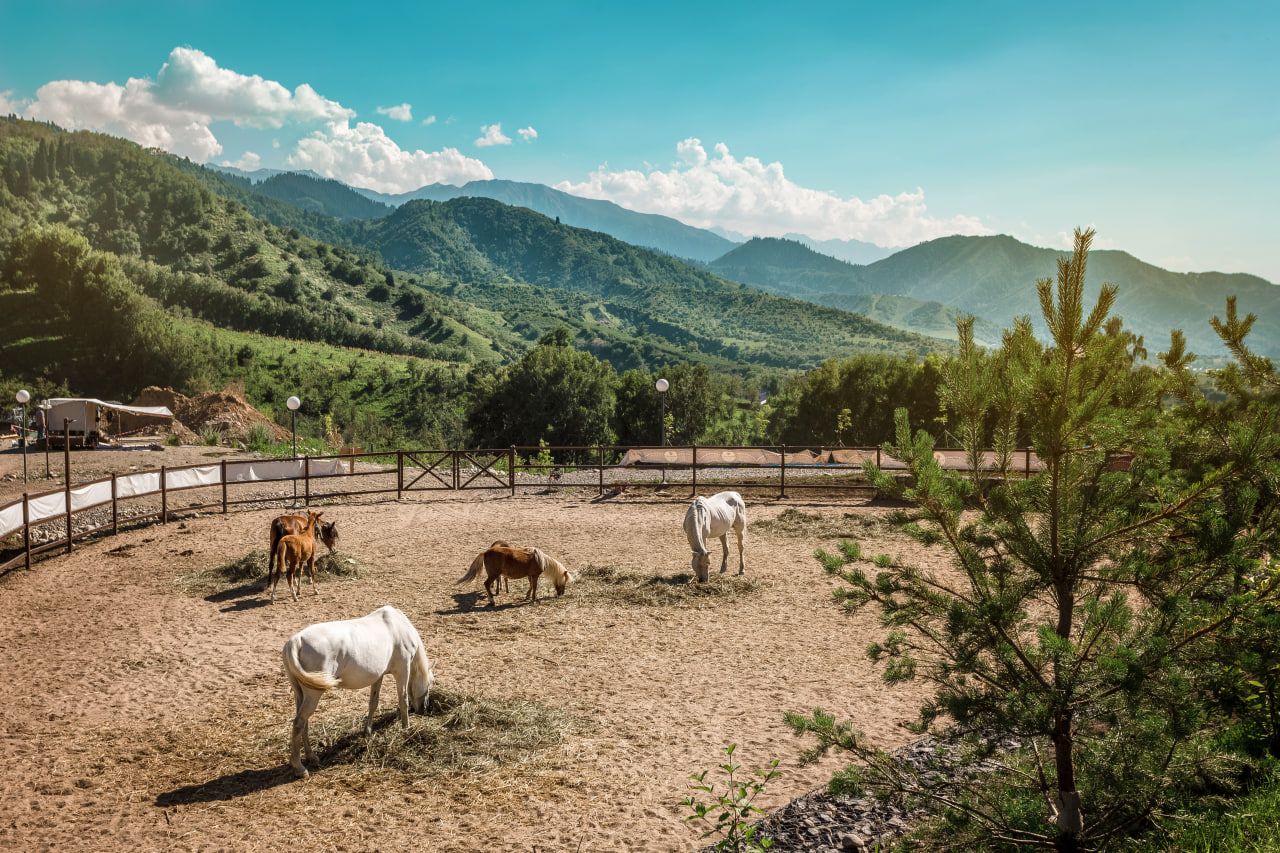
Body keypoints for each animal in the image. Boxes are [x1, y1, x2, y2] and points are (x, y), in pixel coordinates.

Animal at [281, 605, 435, 778]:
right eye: (430, 684)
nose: (424, 708)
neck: (399, 626)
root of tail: (296, 640)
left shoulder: (379, 676)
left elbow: (373, 703)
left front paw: (367, 732)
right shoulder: (403, 670)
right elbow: (403, 701)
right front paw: (406, 729)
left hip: (300, 694)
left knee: (304, 722)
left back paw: (311, 757)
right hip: (313, 694)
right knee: (299, 723)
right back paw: (300, 768)